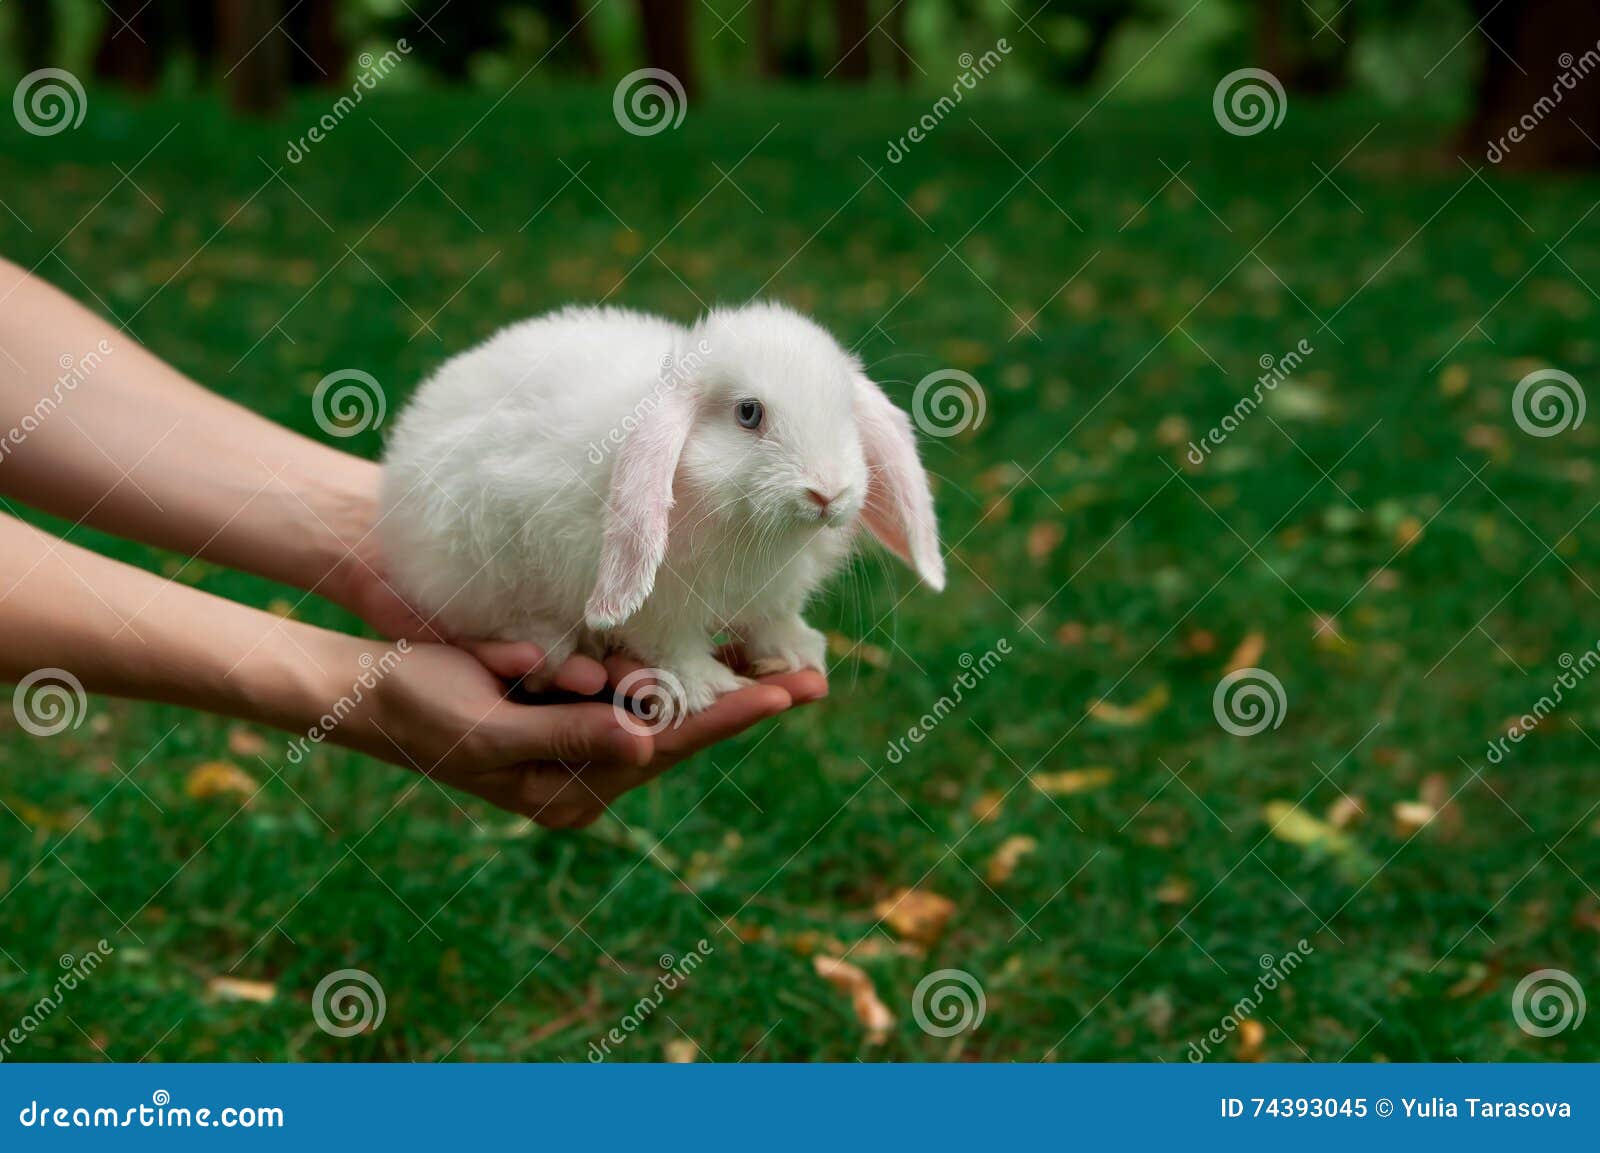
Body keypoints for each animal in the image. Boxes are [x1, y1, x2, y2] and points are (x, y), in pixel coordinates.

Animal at [377, 300, 944, 721]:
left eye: (845, 413)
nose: (828, 494)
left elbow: (773, 620)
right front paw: (709, 688)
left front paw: (797, 652)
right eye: (748, 414)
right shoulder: (656, 608)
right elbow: (674, 646)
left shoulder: (774, 594)